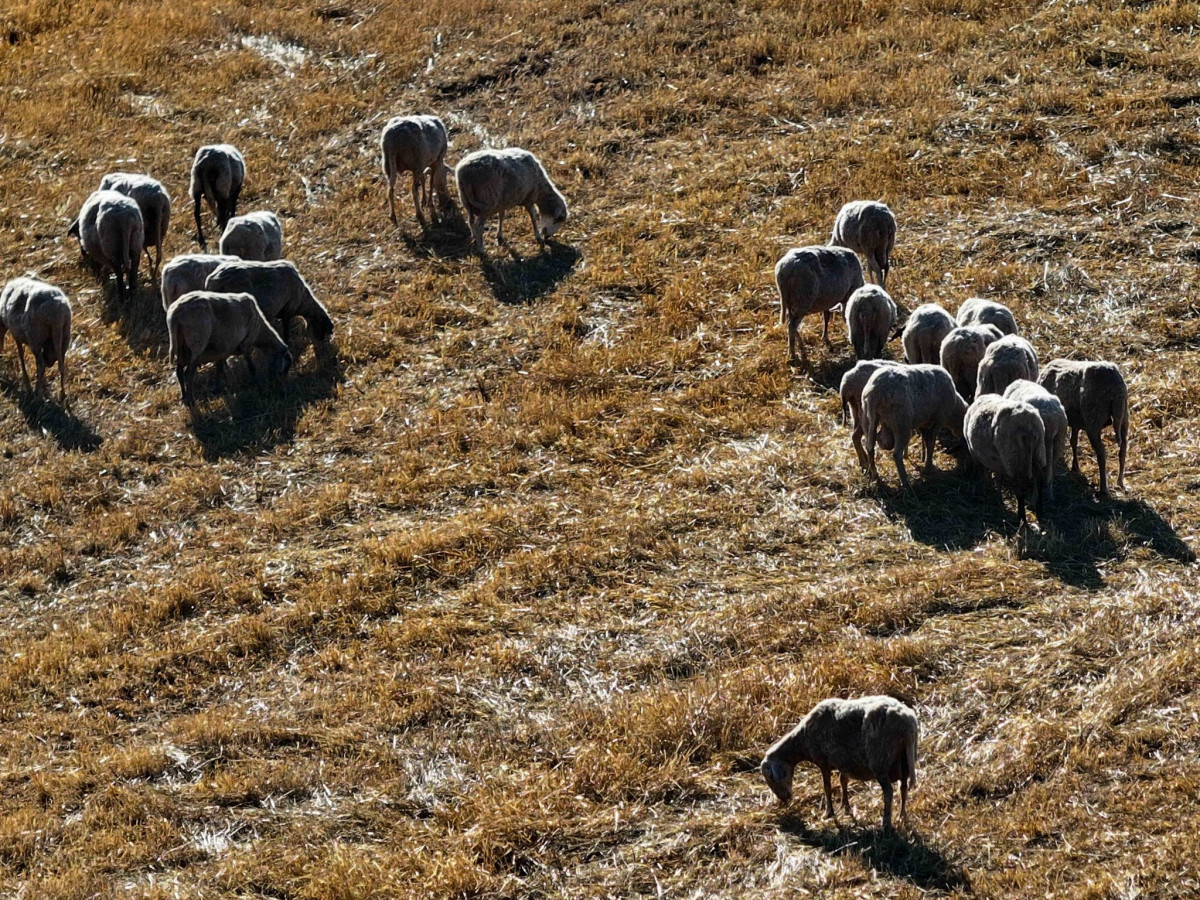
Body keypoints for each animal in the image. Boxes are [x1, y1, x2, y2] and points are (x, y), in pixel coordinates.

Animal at [204, 259, 333, 352]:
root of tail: (212, 280)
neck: (303, 300)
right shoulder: (288, 310)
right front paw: (288, 343)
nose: (322, 350)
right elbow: (286, 330)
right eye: (325, 333)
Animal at [761, 695, 918, 833]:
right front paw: (845, 806)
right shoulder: (843, 761)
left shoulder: (823, 761)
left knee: (889, 792)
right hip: (904, 760)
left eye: (771, 778)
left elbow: (827, 787)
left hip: (880, 760)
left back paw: (886, 823)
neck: (802, 741)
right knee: (903, 788)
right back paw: (902, 817)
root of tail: (907, 726)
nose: (785, 799)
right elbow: (843, 781)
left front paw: (828, 813)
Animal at [964, 393, 1048, 522]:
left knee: (1020, 489)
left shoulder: (974, 453)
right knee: (1040, 480)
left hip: (1011, 456)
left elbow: (978, 473)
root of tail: (1027, 424)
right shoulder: (999, 462)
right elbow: (999, 478)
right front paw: (998, 496)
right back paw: (1040, 510)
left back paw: (1021, 518)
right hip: (1038, 452)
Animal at [1037, 359, 1130, 496]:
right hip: (1123, 417)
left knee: (1101, 453)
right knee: (1123, 449)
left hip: (1093, 420)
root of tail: (1115, 389)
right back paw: (1120, 482)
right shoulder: (1076, 421)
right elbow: (1073, 441)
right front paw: (1075, 466)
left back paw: (1103, 487)